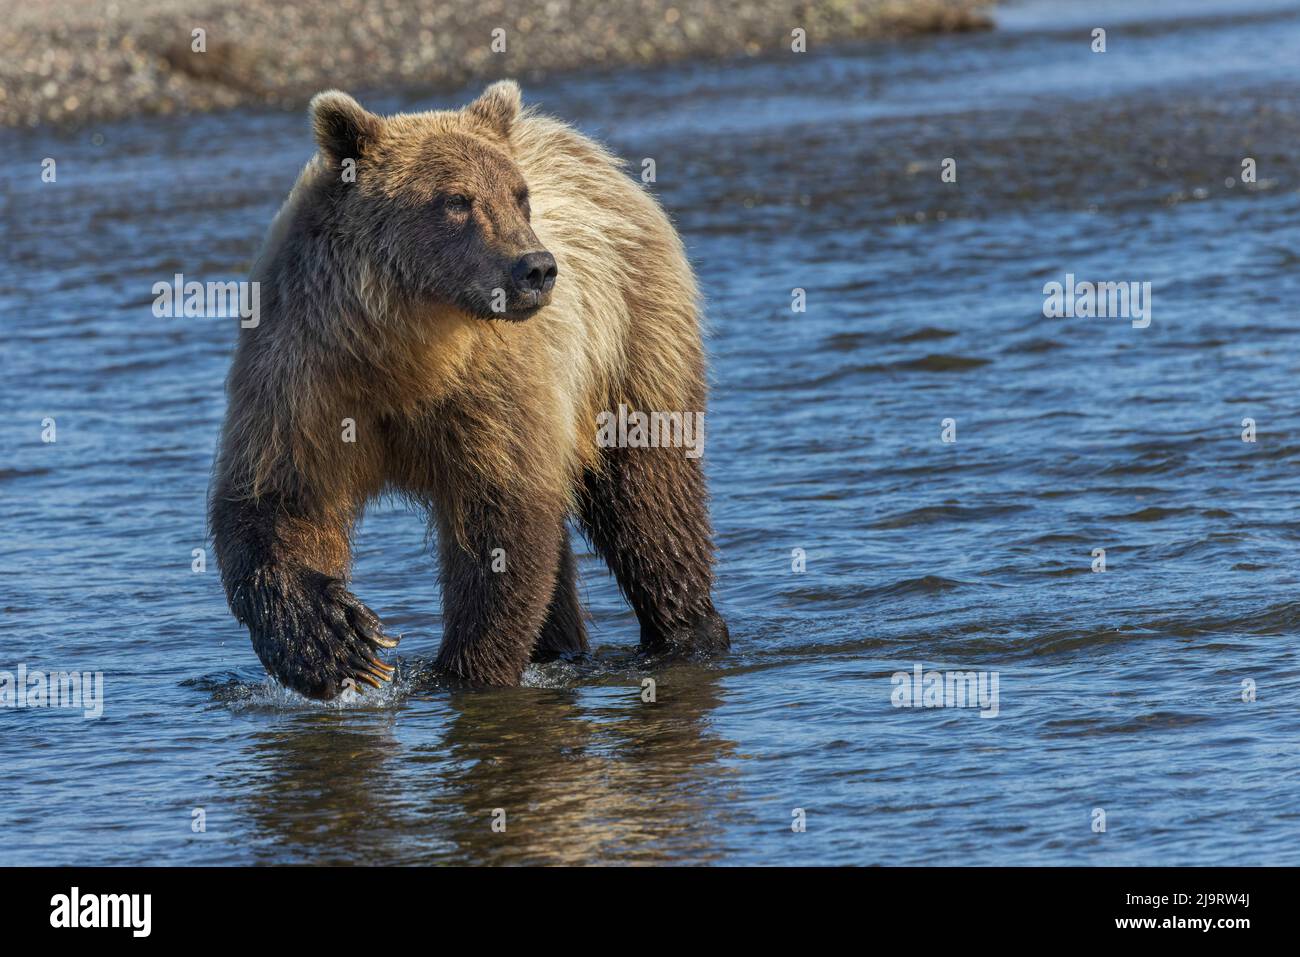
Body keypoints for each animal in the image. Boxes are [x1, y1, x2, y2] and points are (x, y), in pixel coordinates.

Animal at [209, 80, 729, 699]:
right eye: (457, 200)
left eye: (519, 196)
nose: (537, 267)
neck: (404, 352)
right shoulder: (306, 374)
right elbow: (280, 502)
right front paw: (340, 643)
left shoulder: (490, 388)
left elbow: (502, 521)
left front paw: (465, 672)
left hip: (627, 338)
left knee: (647, 495)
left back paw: (685, 632)